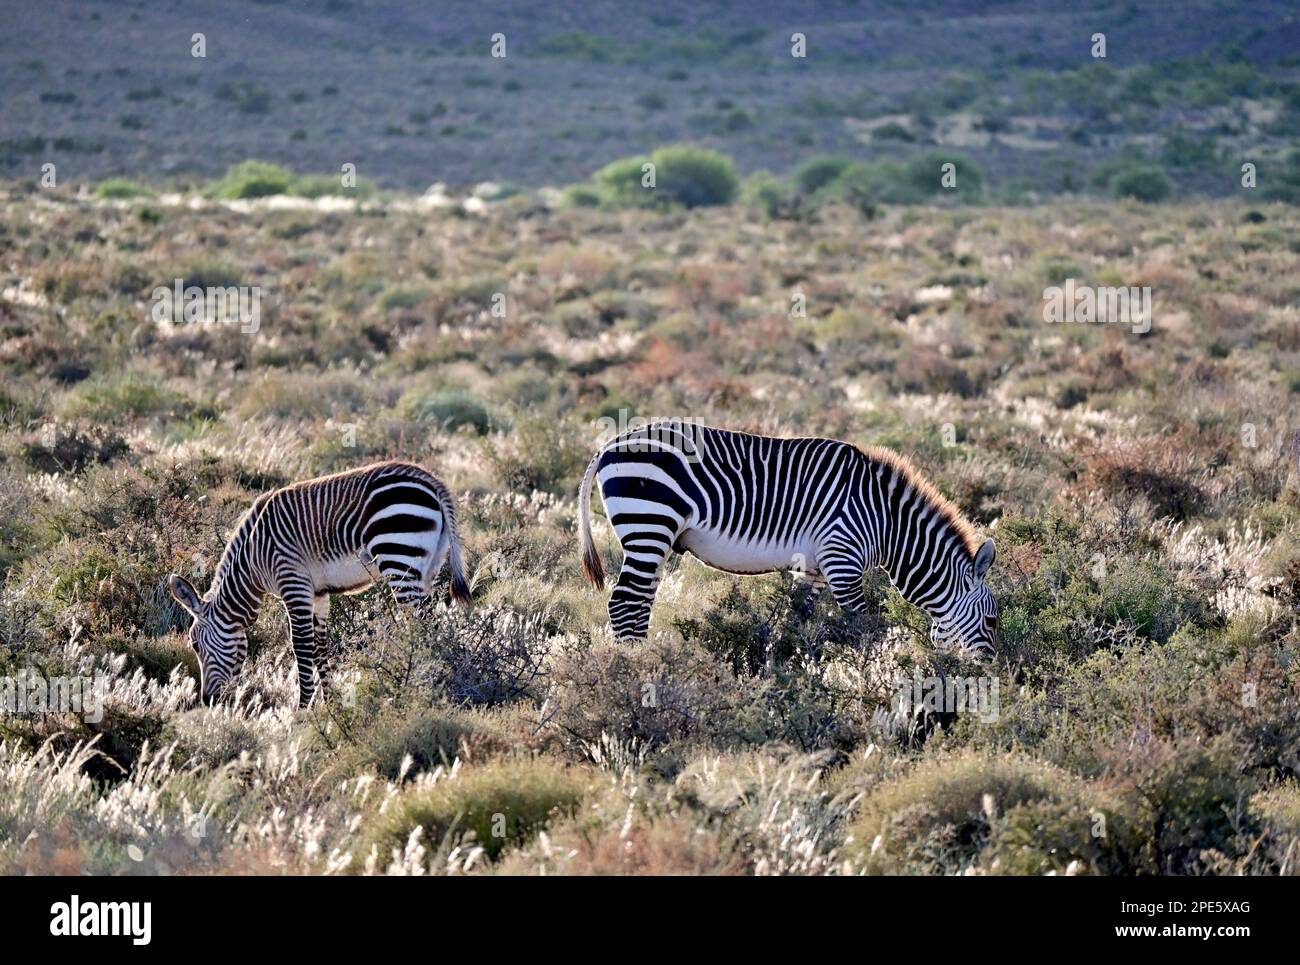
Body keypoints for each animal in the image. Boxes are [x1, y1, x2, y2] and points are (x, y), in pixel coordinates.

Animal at [167, 461, 471, 708]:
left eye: (195, 645)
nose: (208, 700)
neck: (251, 561)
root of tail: (430, 480)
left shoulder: (293, 582)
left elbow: (301, 646)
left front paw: (303, 708)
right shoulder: (319, 594)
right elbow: (319, 648)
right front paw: (330, 703)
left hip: (398, 556)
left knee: (419, 626)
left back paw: (416, 686)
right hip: (427, 565)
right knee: (432, 623)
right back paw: (437, 680)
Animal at [578, 421, 998, 655]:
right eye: (993, 620)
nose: (990, 666)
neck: (885, 522)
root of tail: (610, 443)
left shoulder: (815, 568)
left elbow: (798, 619)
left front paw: (788, 661)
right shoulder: (843, 559)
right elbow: (864, 626)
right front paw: (874, 669)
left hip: (653, 535)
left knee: (639, 603)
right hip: (649, 522)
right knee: (624, 602)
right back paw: (636, 666)